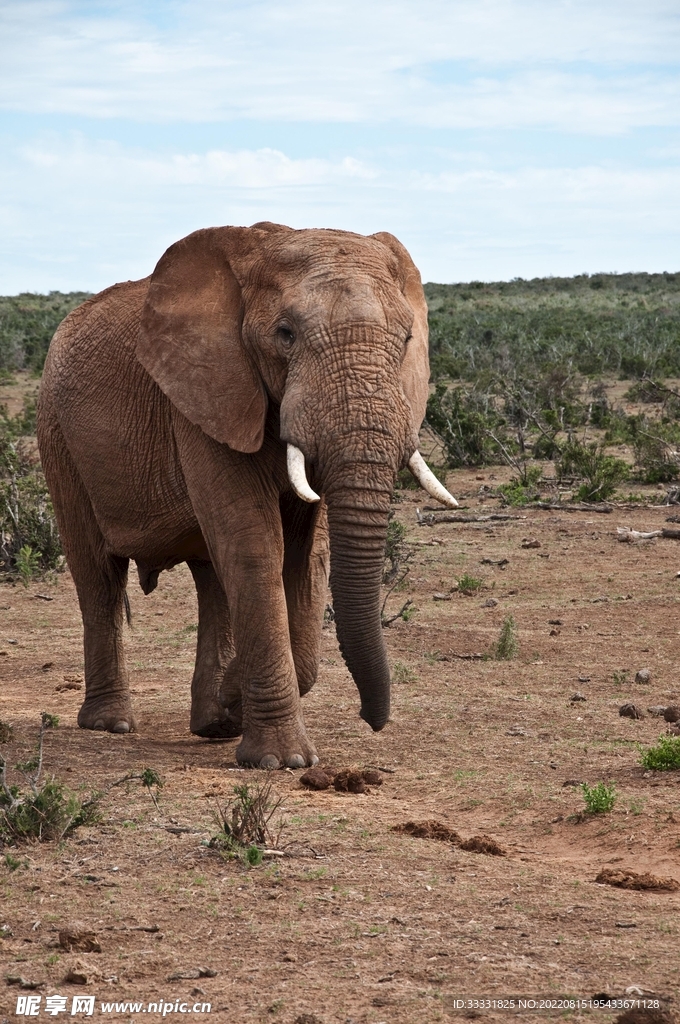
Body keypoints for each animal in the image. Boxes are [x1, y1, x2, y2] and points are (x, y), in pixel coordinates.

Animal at [36, 222, 457, 769]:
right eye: (285, 334)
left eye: (407, 339)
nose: (372, 720)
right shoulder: (208, 393)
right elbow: (256, 545)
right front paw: (282, 761)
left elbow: (307, 554)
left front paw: (232, 700)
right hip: (57, 435)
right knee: (98, 575)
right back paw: (112, 724)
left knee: (211, 576)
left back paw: (212, 724)